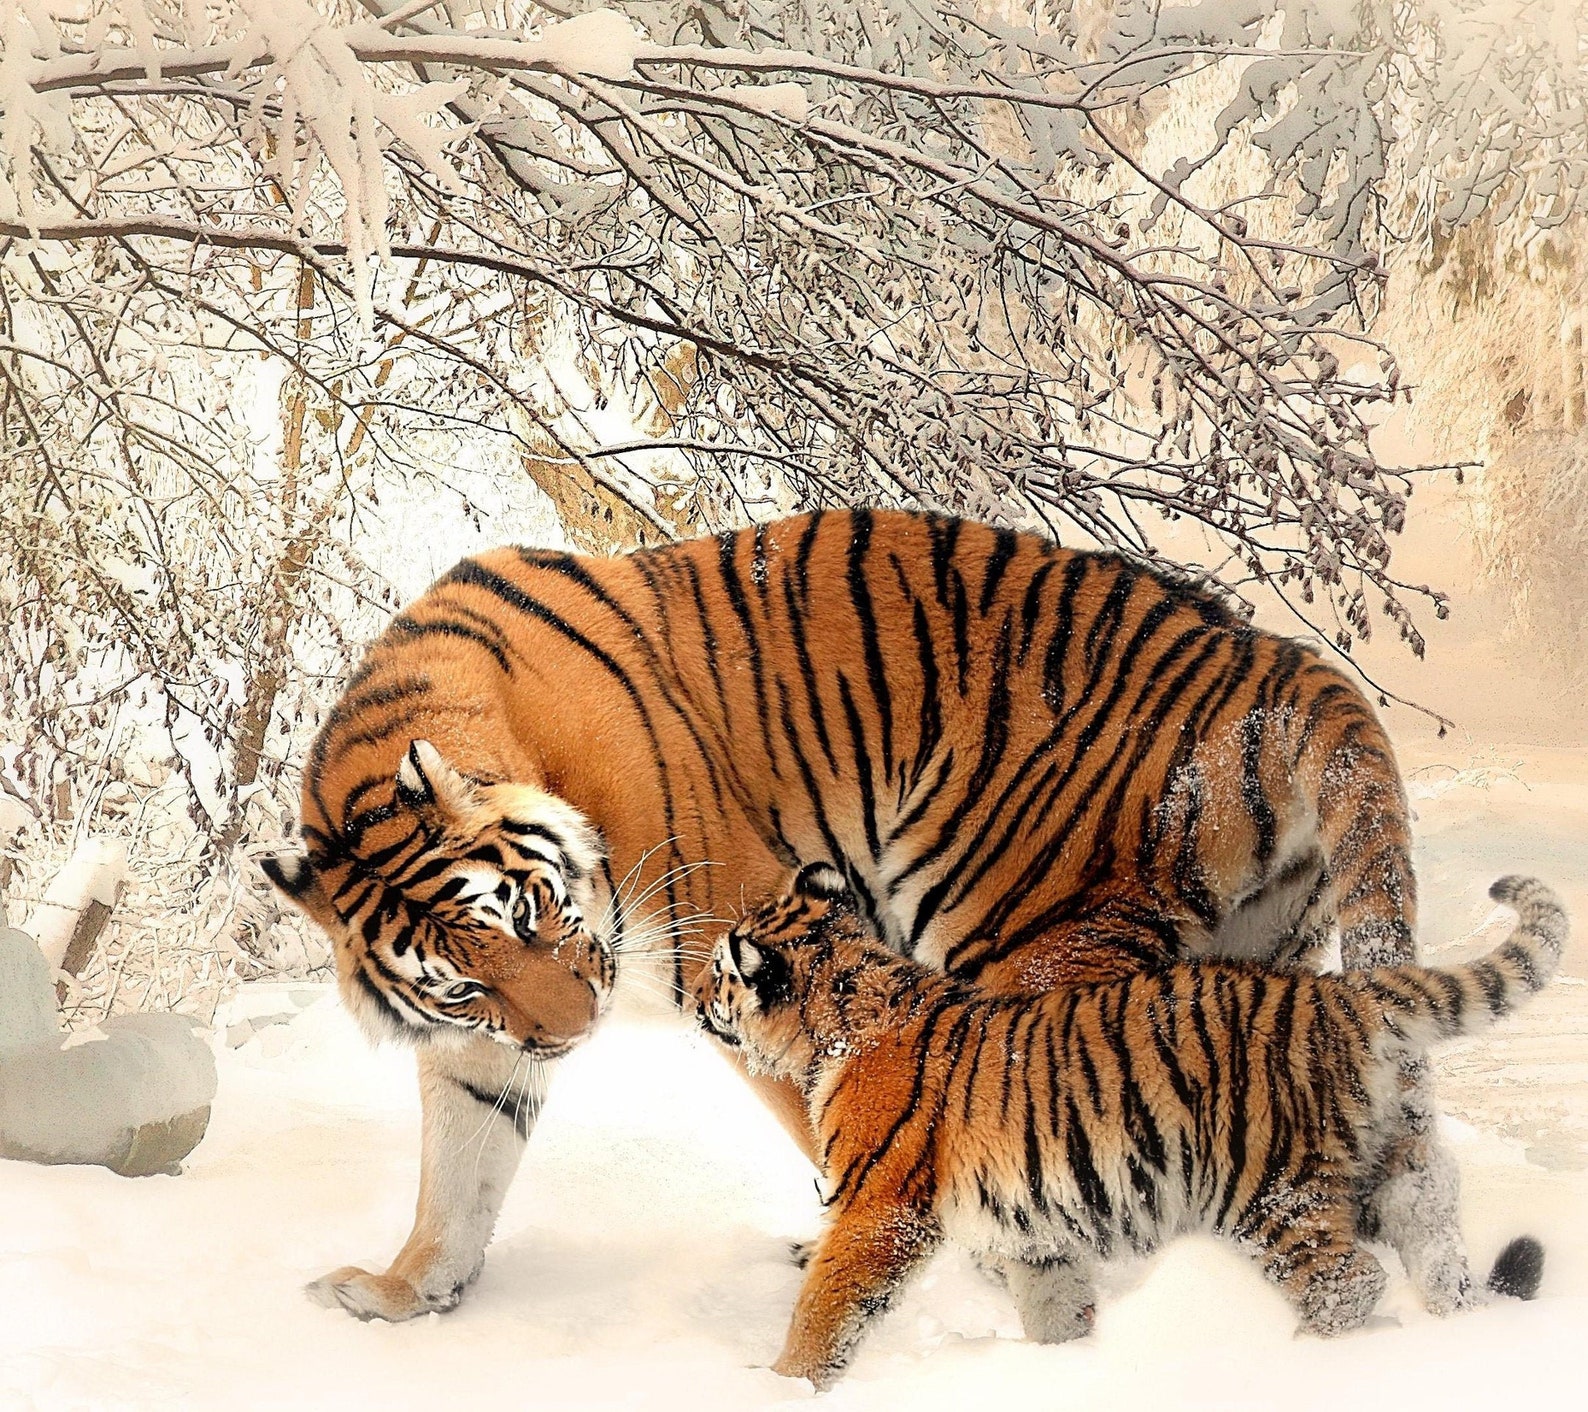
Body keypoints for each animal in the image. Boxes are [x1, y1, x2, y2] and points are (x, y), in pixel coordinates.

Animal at [262, 507, 1477, 1324]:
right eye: (463, 980)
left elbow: (847, 1122)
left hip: (1029, 936)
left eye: (528, 914)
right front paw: (404, 1289)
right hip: (1252, 961)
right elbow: (460, 1164)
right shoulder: (484, 1042)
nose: (572, 1033)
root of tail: (1273, 658)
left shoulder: (736, 936)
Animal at [695, 864, 1565, 1390]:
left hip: (1269, 1189)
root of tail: (1340, 994)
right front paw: (1068, 1367)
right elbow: (1054, 1305)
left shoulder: (878, 1210)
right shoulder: (1033, 1230)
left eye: (718, 973)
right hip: (1390, 1171)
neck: (844, 1011)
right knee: (1435, 1245)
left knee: (1349, 1282)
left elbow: (826, 1308)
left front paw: (781, 1383)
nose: (696, 1000)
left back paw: (1300, 1363)